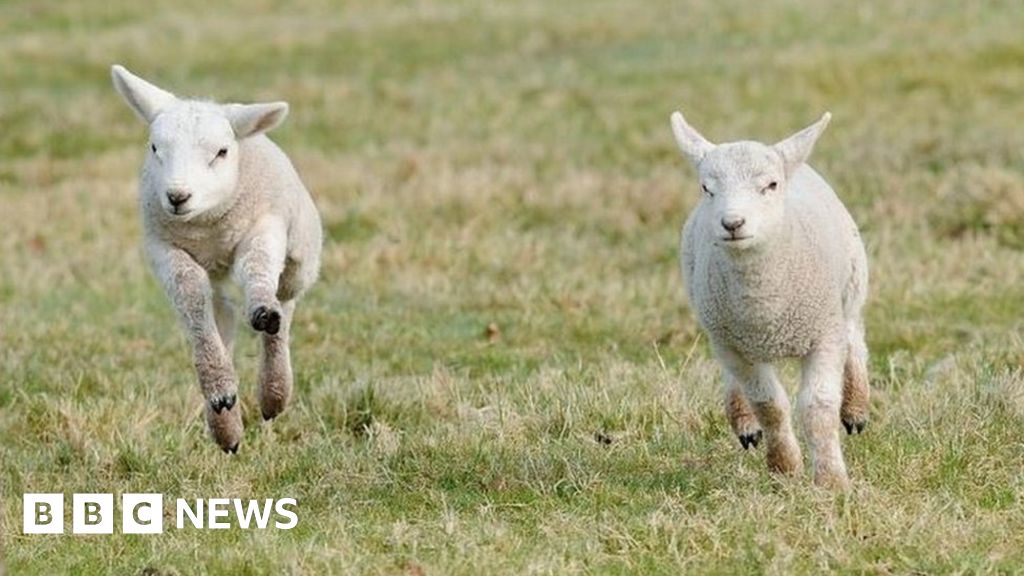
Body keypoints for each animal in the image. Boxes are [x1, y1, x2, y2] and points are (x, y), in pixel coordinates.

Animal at [111, 65, 322, 453]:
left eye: (222, 152)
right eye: (154, 148)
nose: (177, 196)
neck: (207, 228)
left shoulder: (263, 226)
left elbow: (258, 266)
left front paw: (262, 310)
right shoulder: (164, 249)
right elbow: (191, 298)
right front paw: (220, 393)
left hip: (300, 256)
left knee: (285, 302)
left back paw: (273, 390)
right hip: (218, 280)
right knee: (221, 313)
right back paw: (227, 424)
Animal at [669, 109, 869, 488]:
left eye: (771, 185)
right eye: (706, 188)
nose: (732, 223)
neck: (765, 310)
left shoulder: (823, 334)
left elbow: (818, 407)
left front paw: (831, 481)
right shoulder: (737, 345)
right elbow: (770, 406)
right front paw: (785, 467)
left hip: (852, 283)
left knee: (854, 335)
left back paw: (855, 406)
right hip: (719, 329)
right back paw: (744, 421)